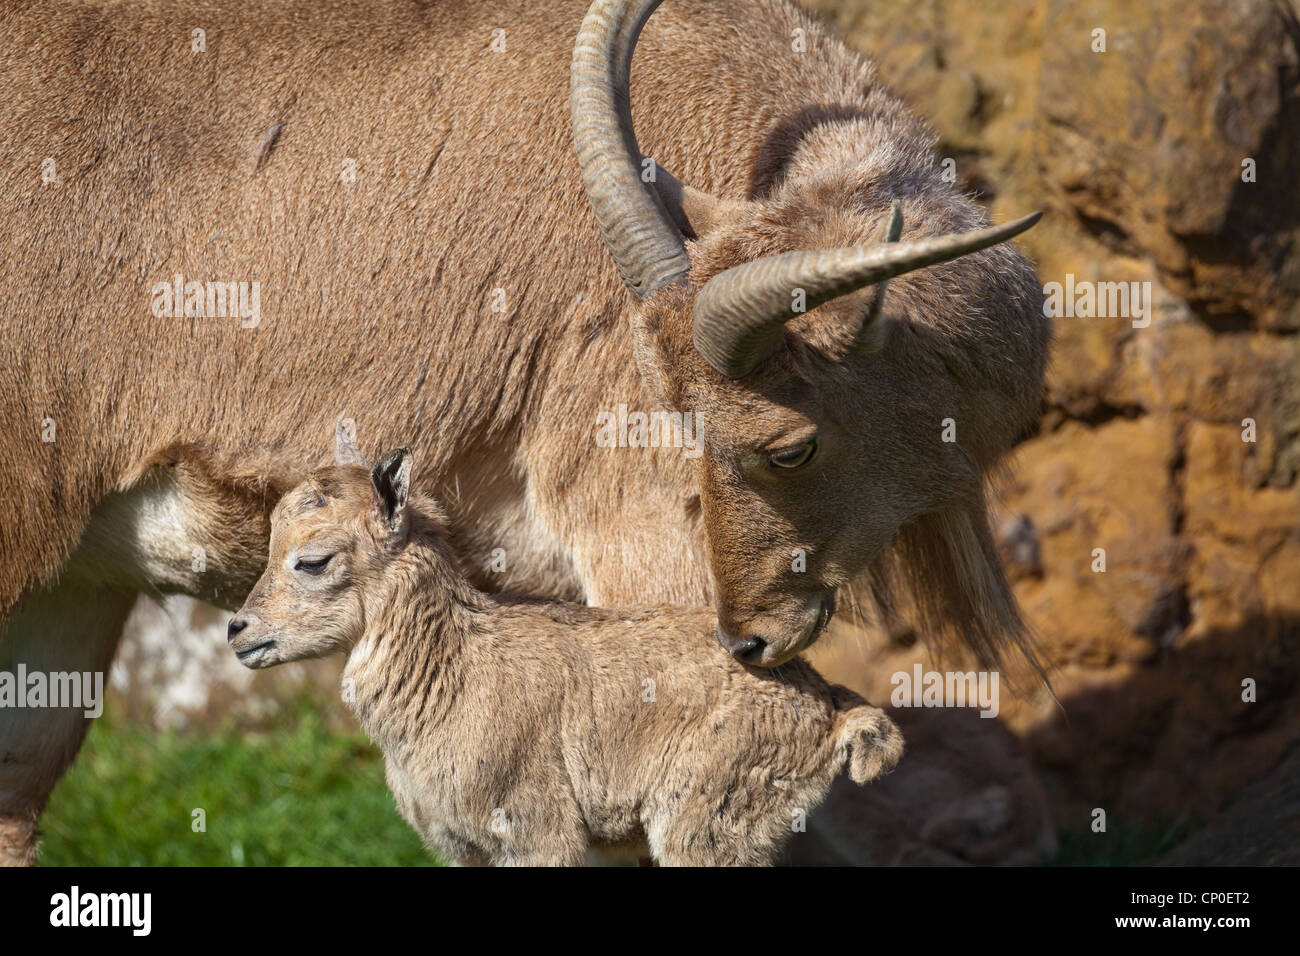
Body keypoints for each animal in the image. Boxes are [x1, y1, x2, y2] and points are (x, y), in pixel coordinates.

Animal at [228, 437, 904, 866]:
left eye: (313, 560)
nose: (238, 631)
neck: (456, 674)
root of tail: (834, 711)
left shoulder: (535, 831)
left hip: (710, 821)